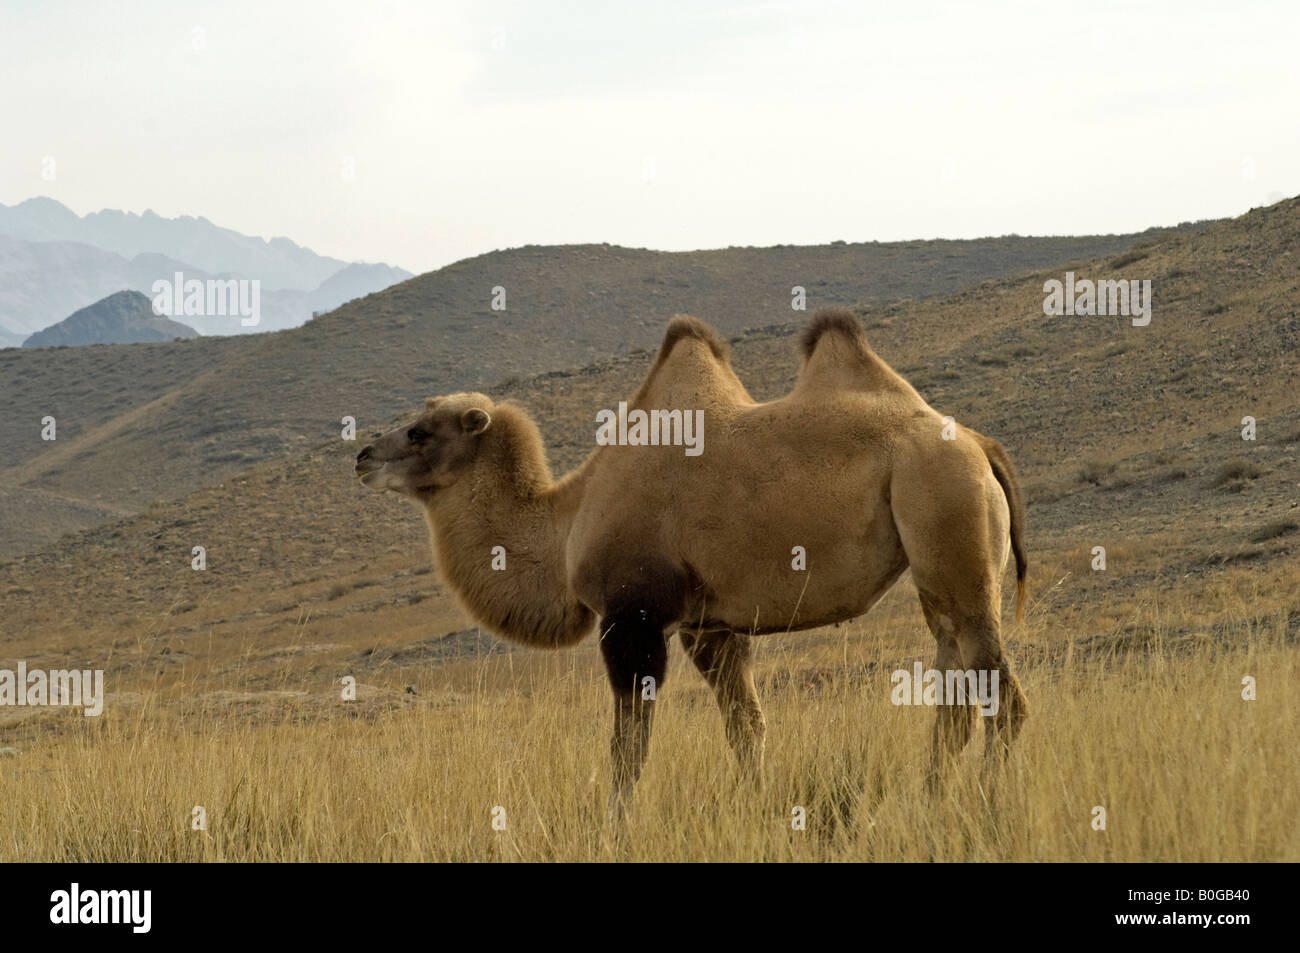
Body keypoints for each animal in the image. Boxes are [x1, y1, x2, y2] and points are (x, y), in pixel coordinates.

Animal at [355, 307, 1029, 813]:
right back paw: (930, 799)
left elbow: (629, 749)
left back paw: (989, 806)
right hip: (936, 564)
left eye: (421, 431)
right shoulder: (709, 626)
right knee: (955, 682)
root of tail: (979, 445)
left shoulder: (633, 616)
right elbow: (747, 728)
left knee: (1002, 696)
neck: (569, 518)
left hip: (945, 509)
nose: (362, 454)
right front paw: (757, 809)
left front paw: (617, 826)